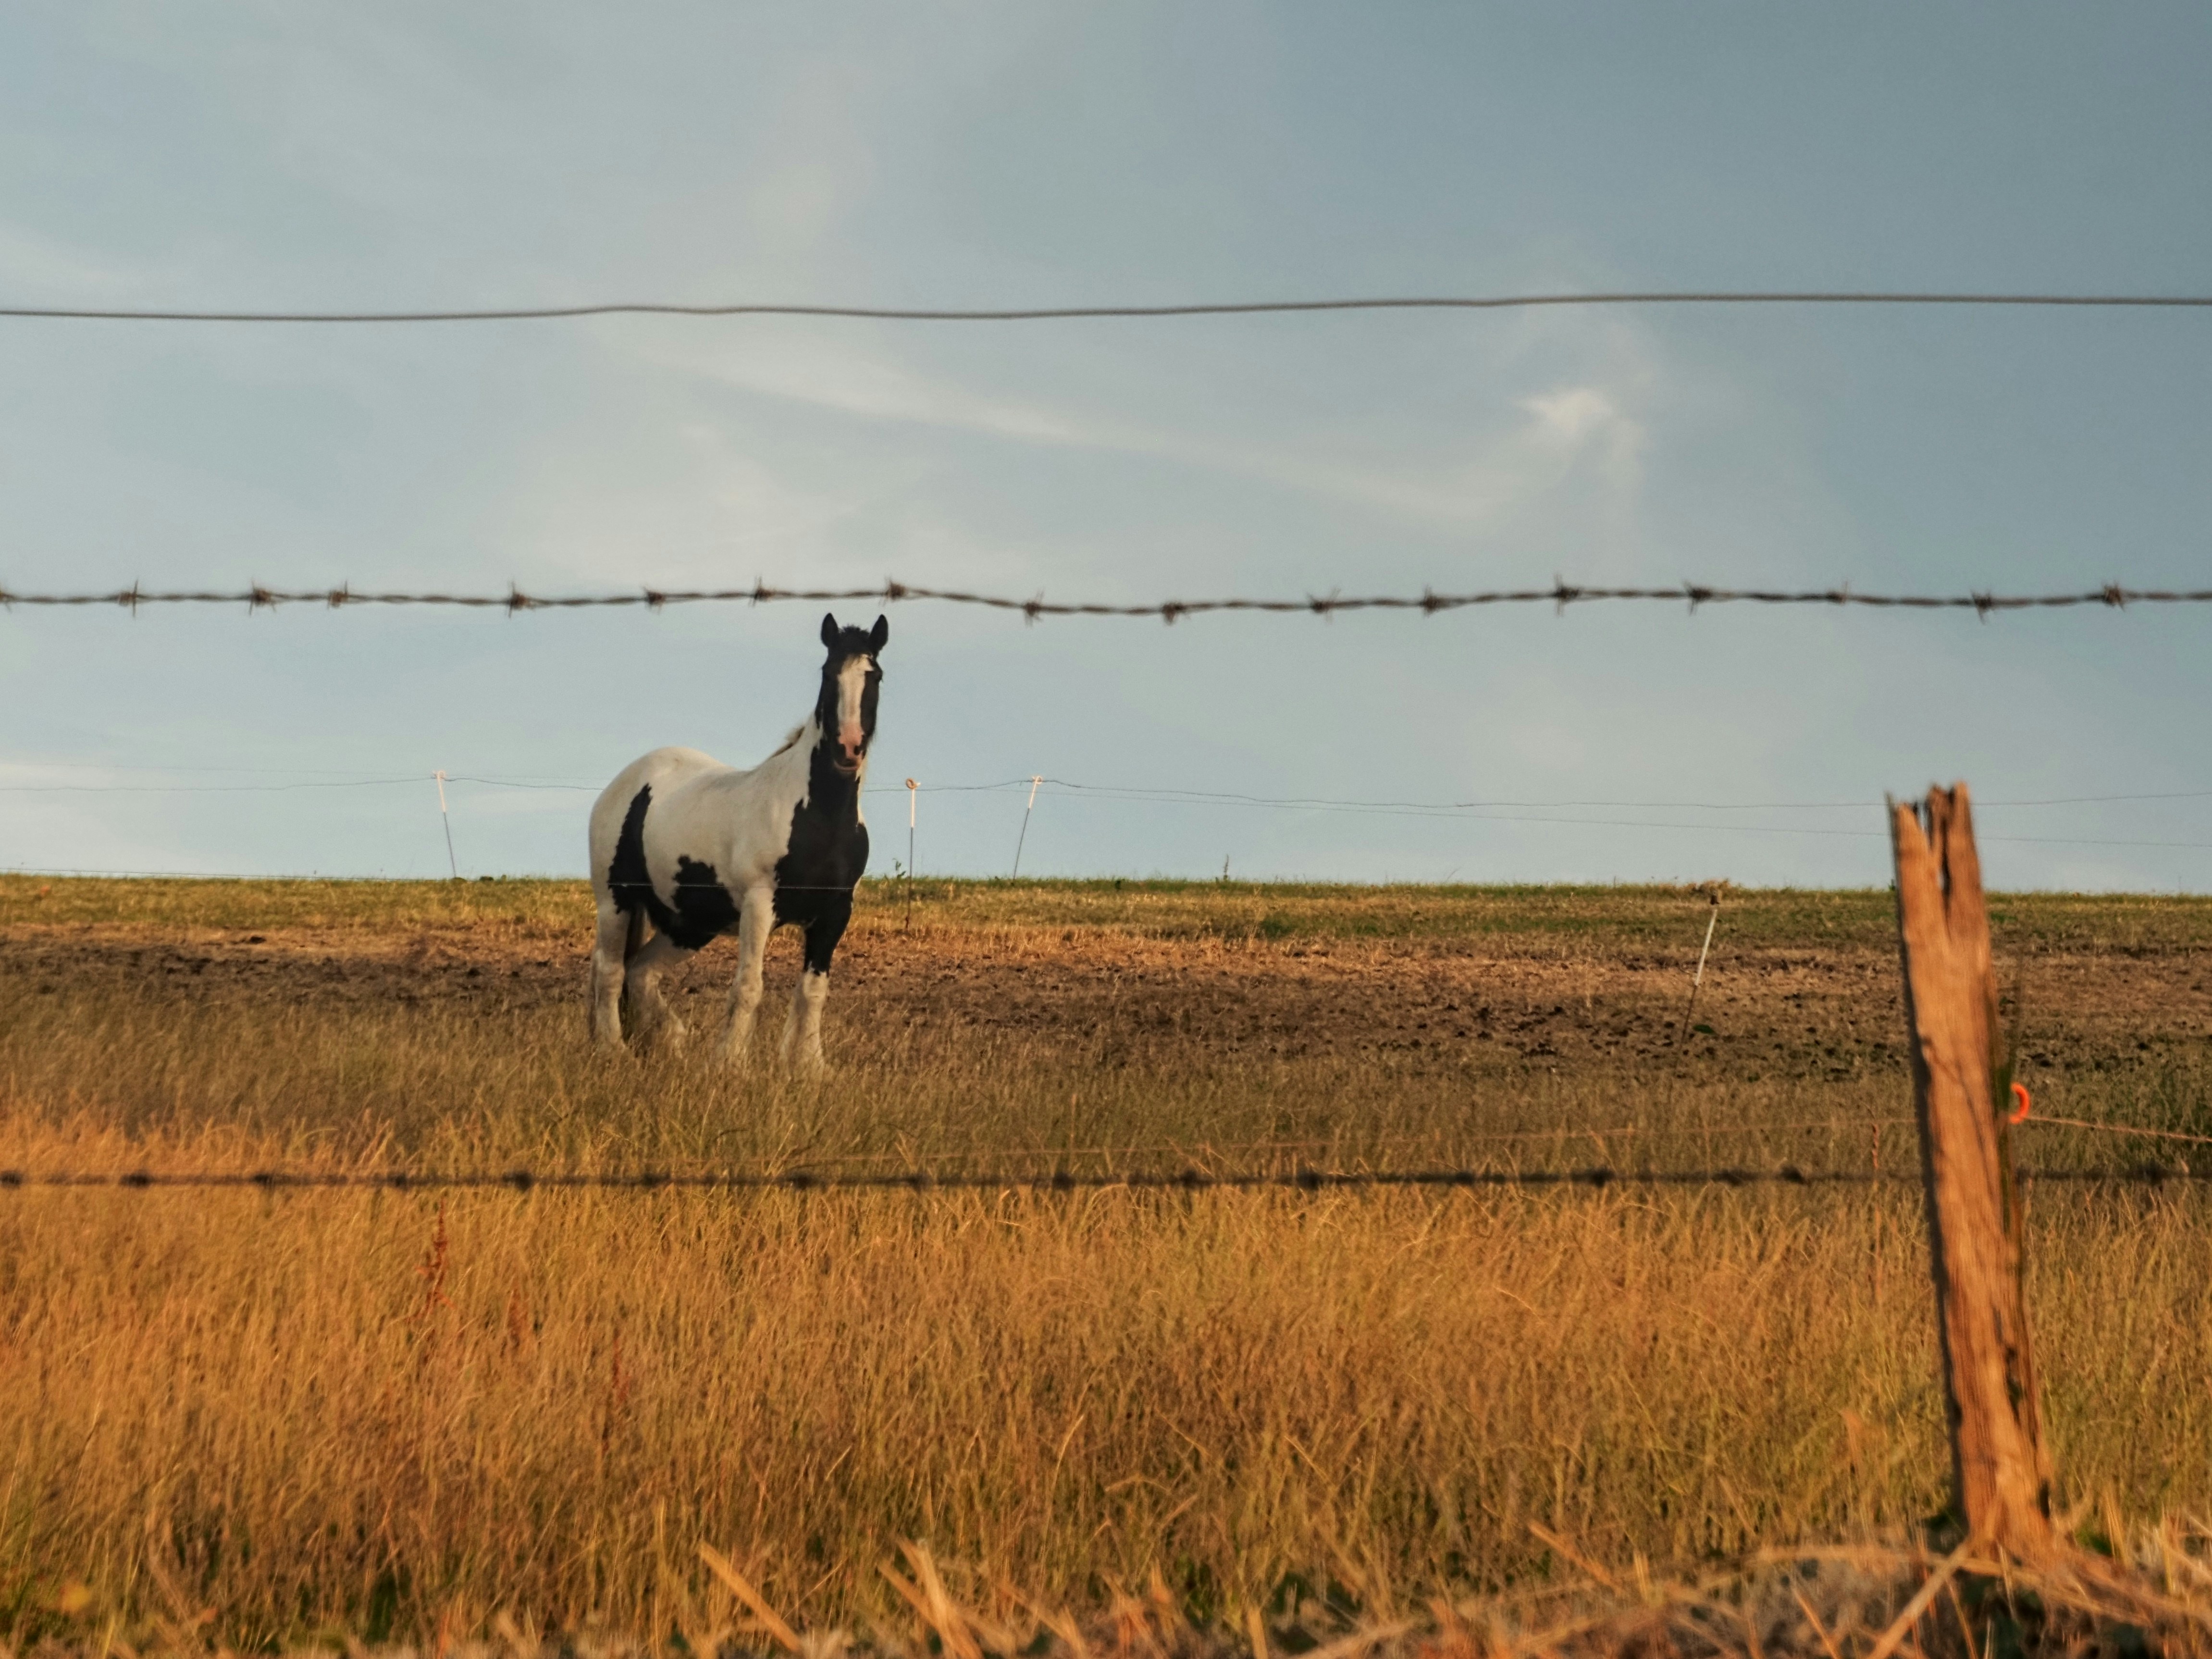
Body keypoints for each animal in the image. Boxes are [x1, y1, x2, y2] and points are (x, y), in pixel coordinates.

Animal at [586, 612, 888, 1072]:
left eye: (875, 675)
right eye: (827, 673)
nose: (848, 748)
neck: (817, 819)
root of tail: (628, 782)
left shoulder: (835, 913)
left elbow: (813, 992)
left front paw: (811, 1066)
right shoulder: (759, 904)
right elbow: (748, 987)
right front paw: (730, 1061)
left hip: (688, 923)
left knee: (641, 972)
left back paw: (672, 1040)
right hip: (615, 899)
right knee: (610, 971)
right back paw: (614, 1050)